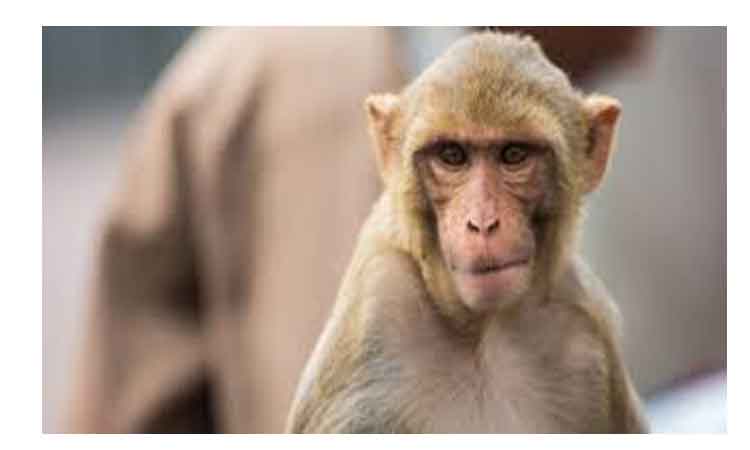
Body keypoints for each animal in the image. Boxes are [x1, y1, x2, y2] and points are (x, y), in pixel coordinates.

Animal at [285, 32, 648, 433]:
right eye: (452, 155)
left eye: (514, 154)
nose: (483, 222)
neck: (481, 330)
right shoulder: (376, 310)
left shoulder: (588, 333)